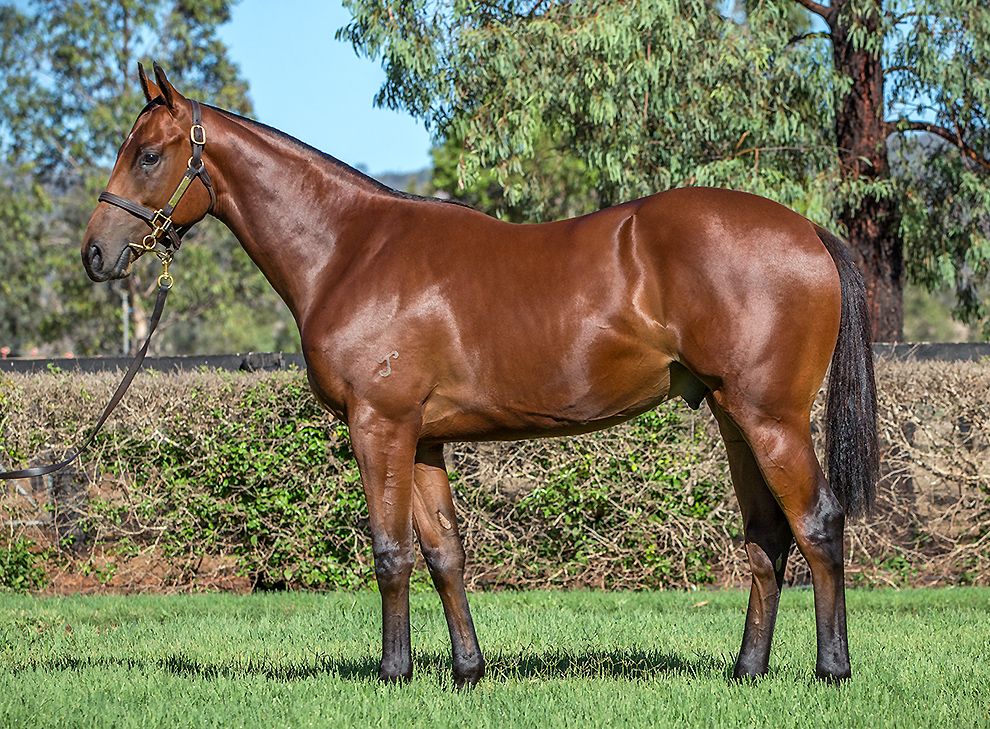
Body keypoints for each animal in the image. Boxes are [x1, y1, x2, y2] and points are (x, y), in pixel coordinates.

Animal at [81, 64, 878, 687]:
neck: (350, 250)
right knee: (768, 537)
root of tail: (808, 231)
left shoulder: (379, 426)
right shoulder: (423, 438)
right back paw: (748, 670)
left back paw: (832, 670)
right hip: (732, 415)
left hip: (770, 418)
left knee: (818, 523)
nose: (95, 254)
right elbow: (444, 554)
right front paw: (467, 671)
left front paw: (393, 673)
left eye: (148, 154)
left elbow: (391, 551)